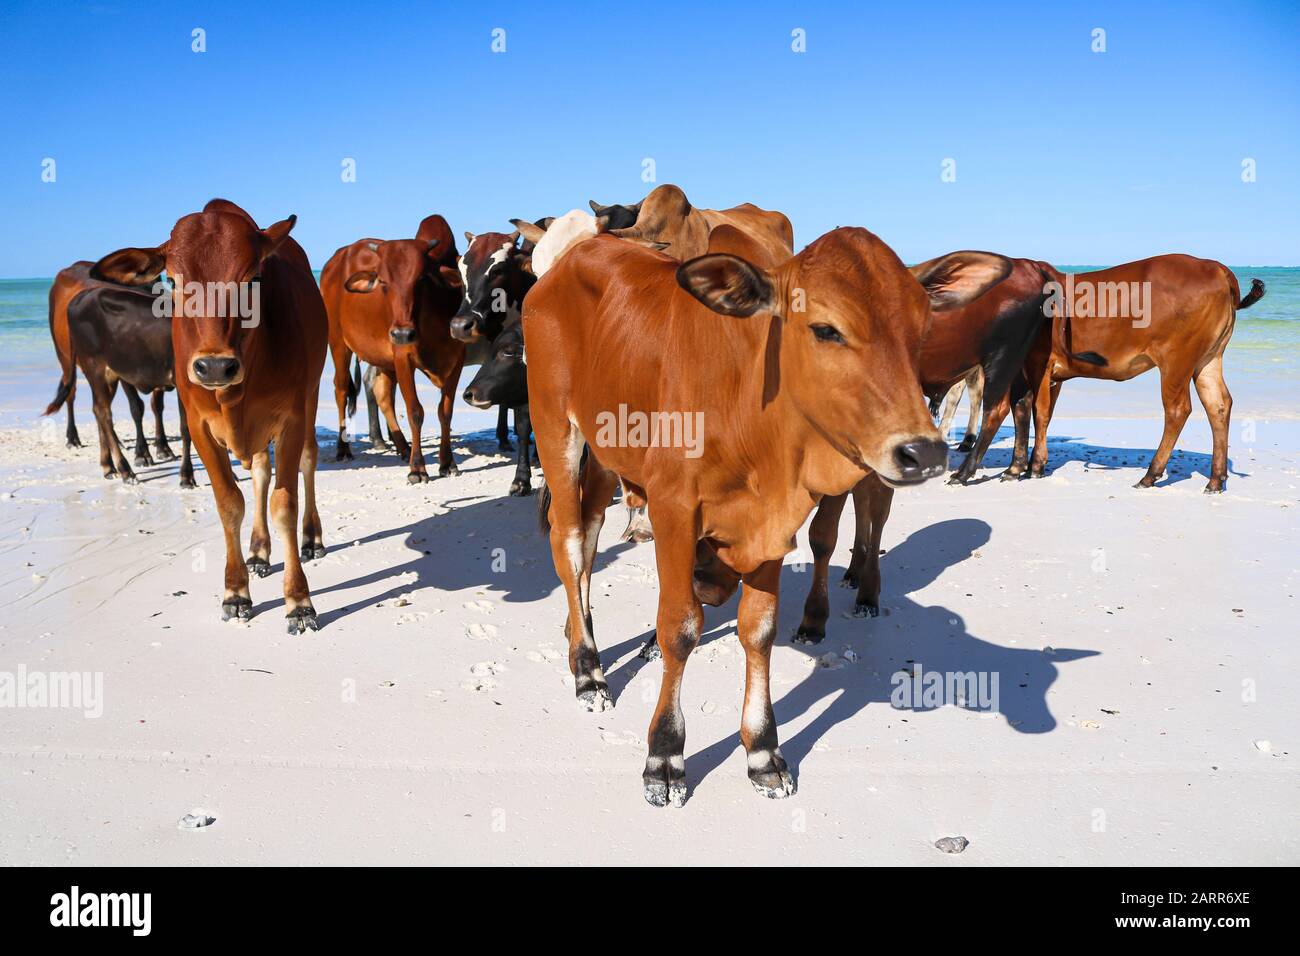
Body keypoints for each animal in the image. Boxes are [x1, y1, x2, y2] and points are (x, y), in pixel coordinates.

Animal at [90, 200, 329, 633]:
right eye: (172, 280)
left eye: (253, 279)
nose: (215, 366)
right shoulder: (199, 426)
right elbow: (229, 502)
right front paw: (236, 591)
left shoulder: (291, 418)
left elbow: (284, 503)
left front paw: (299, 601)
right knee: (260, 470)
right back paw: (259, 551)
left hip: (313, 393)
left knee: (307, 460)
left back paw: (311, 538)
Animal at [320, 215, 466, 482]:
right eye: (383, 283)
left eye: (421, 279)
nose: (402, 333)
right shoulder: (403, 358)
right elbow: (415, 412)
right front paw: (417, 468)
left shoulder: (457, 360)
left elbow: (445, 412)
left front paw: (447, 462)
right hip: (337, 343)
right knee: (341, 389)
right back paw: (343, 448)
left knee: (383, 394)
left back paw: (403, 447)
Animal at [526, 228, 1010, 805]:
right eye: (825, 329)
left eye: (921, 331)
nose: (925, 452)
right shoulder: (673, 509)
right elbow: (680, 628)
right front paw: (665, 754)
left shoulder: (773, 526)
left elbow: (757, 630)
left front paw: (761, 750)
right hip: (556, 428)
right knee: (569, 542)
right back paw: (588, 670)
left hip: (604, 459)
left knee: (591, 538)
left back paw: (582, 634)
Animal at [1007, 257, 1263, 494]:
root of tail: (1213, 266)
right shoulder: (1049, 377)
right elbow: (1039, 412)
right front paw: (1027, 465)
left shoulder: (1038, 365)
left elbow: (1035, 412)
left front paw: (1030, 466)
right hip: (1208, 359)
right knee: (1218, 404)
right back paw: (1216, 479)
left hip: (1176, 361)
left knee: (1178, 409)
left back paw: (1151, 474)